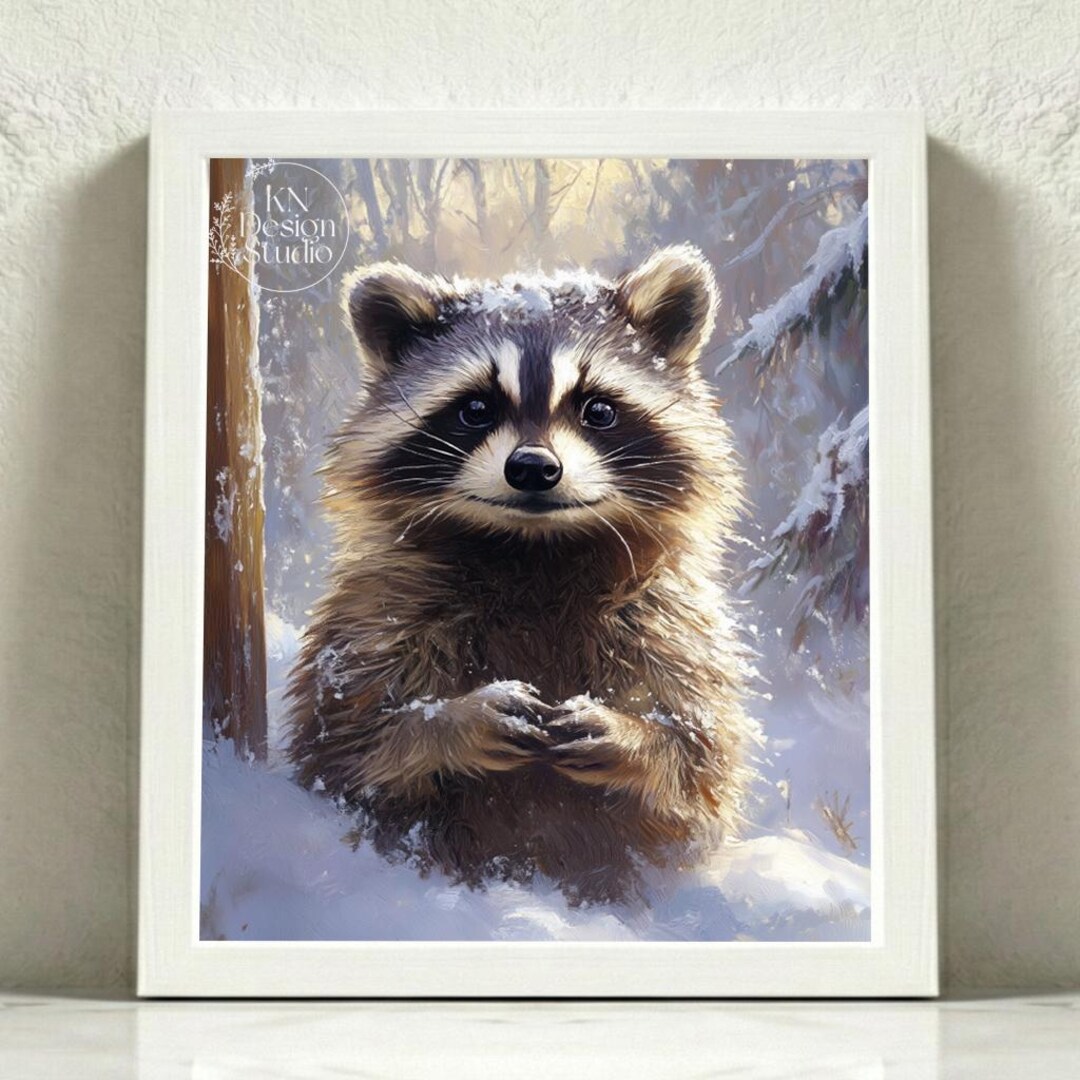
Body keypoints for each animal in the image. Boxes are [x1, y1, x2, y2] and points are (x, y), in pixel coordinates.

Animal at [286, 245, 755, 906]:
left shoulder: (667, 621)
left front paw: (635, 737)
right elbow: (344, 745)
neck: (534, 552)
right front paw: (449, 723)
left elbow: (703, 765)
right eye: (475, 408)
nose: (533, 467)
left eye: (598, 409)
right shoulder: (378, 610)